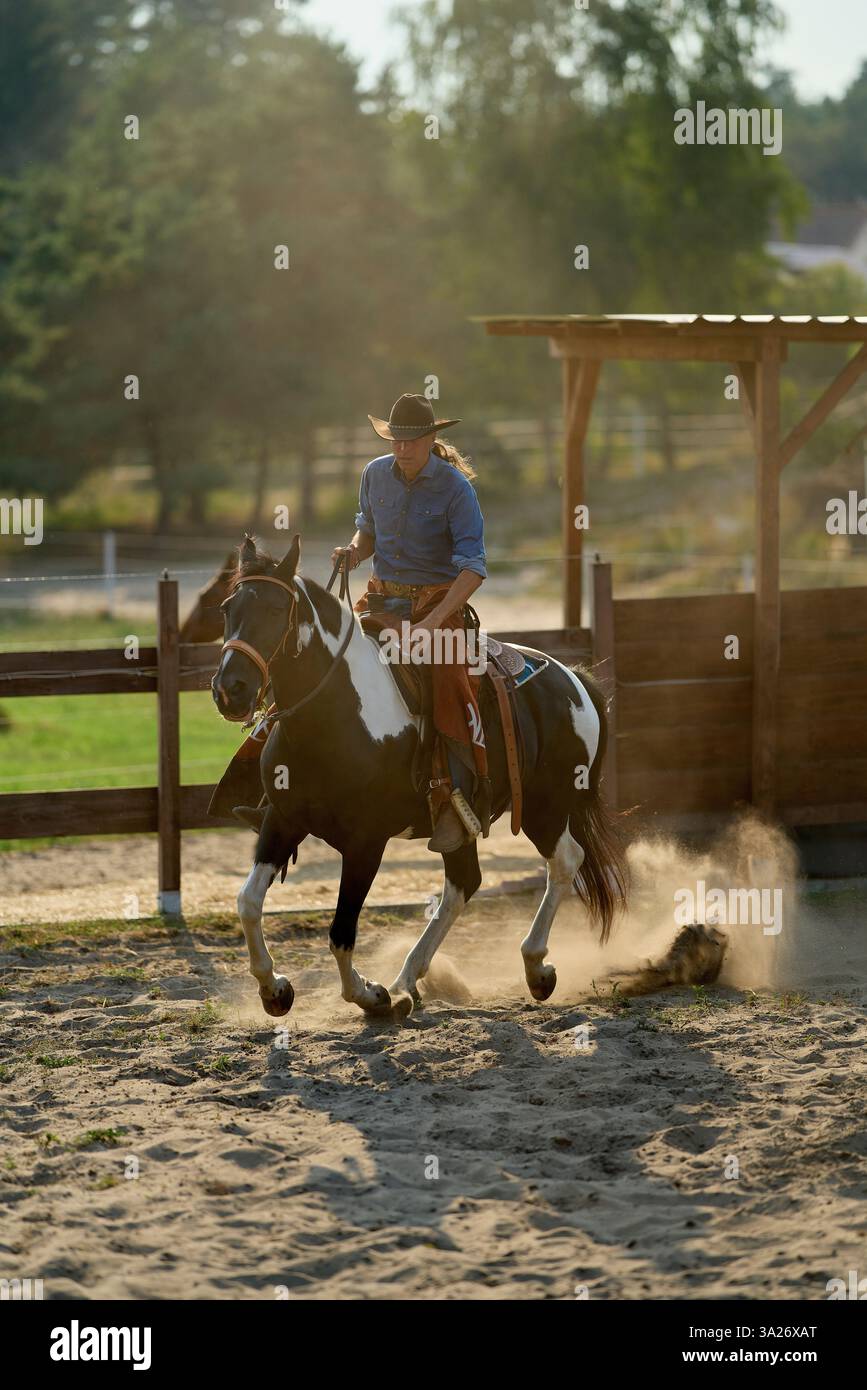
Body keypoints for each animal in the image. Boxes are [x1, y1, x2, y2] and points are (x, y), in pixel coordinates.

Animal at [211, 534, 628, 1021]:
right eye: (227, 608)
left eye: (278, 609)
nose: (230, 689)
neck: (336, 713)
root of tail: (573, 679)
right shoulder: (282, 820)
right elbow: (248, 903)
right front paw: (274, 989)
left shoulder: (366, 841)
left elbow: (341, 932)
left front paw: (370, 996)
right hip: (462, 824)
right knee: (463, 884)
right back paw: (408, 979)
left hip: (546, 807)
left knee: (564, 861)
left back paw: (535, 967)